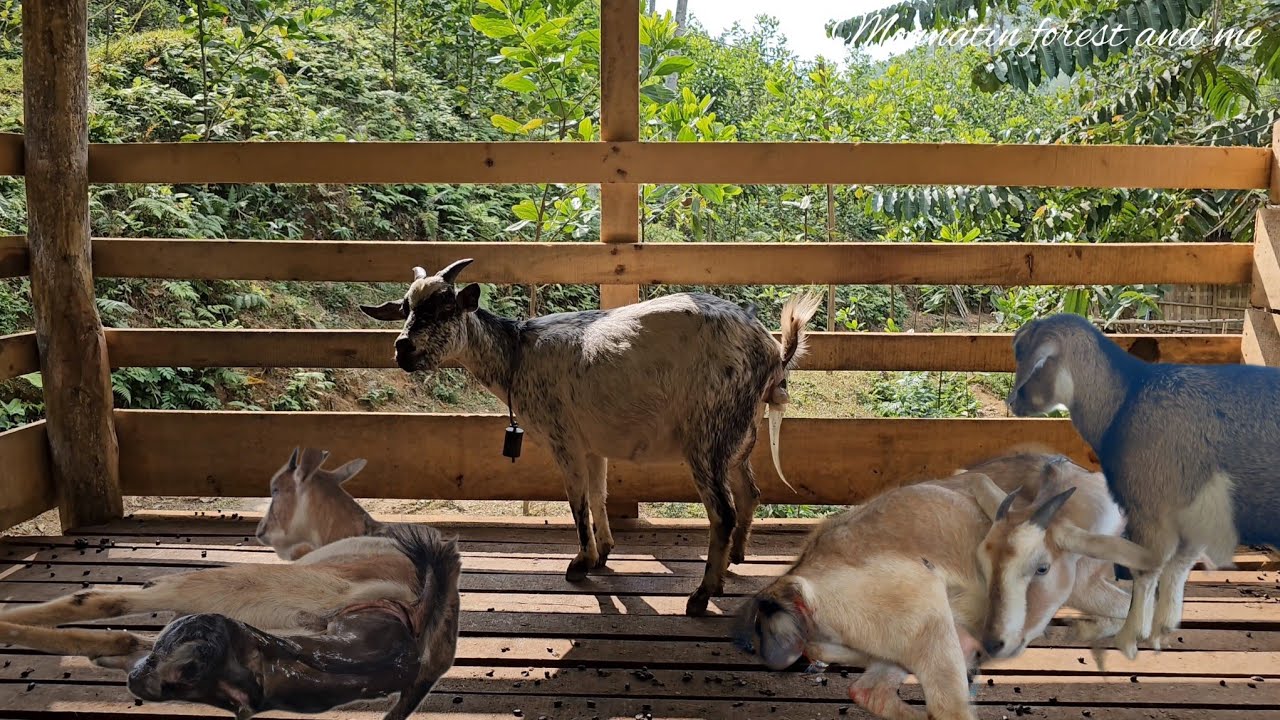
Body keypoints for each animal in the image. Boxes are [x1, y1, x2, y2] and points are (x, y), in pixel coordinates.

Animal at [360, 259, 821, 615]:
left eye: (444, 308)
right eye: (405, 308)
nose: (402, 348)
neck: (517, 354)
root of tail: (770, 349)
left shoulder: (562, 437)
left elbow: (577, 500)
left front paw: (581, 561)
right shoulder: (594, 442)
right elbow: (599, 494)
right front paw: (605, 552)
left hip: (707, 431)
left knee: (722, 511)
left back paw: (701, 595)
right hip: (740, 434)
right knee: (750, 492)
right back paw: (729, 566)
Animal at [731, 453, 1149, 720]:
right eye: (1040, 567)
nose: (996, 642)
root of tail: (796, 584)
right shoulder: (1079, 579)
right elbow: (1131, 611)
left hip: (900, 644)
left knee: (871, 692)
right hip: (927, 615)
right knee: (948, 710)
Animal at [1007, 312, 1280, 659]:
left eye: (1027, 358)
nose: (1012, 403)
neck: (1124, 403)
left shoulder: (1150, 506)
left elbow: (1147, 569)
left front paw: (1129, 637)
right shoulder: (1191, 519)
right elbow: (1177, 569)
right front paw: (1161, 632)